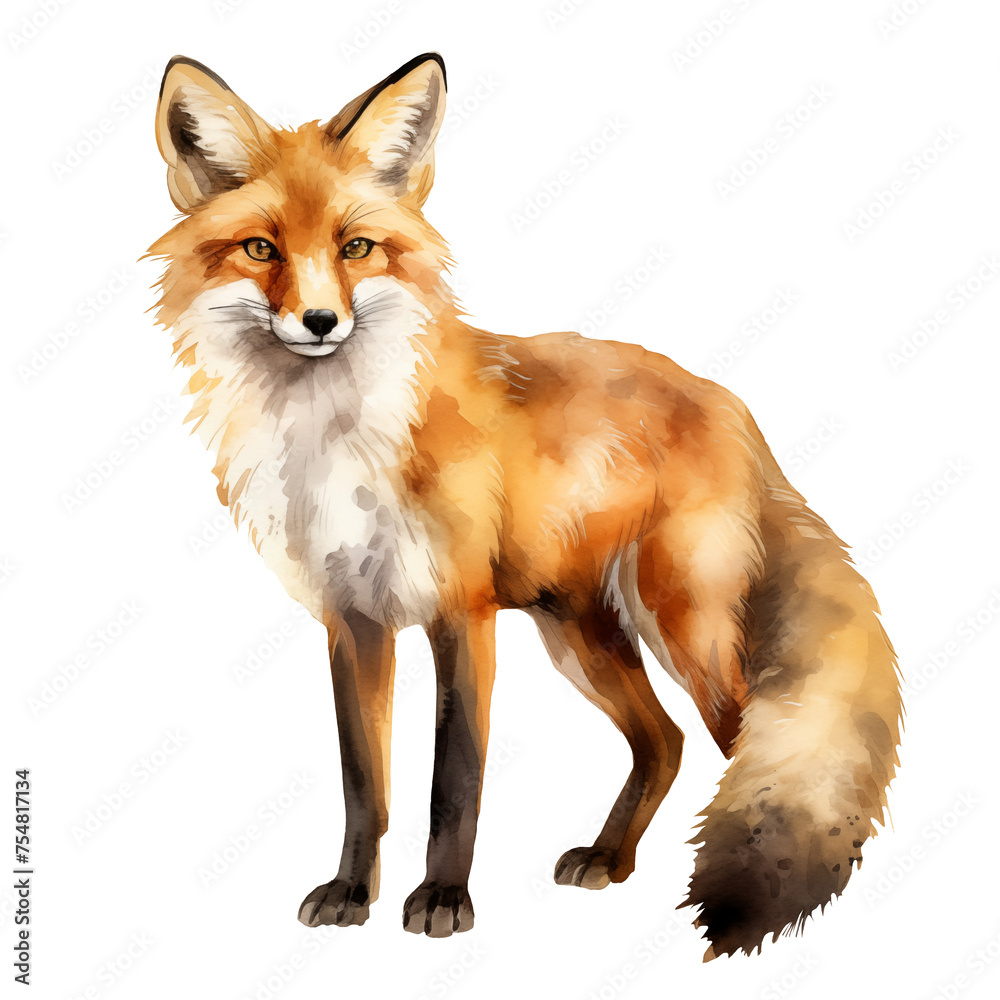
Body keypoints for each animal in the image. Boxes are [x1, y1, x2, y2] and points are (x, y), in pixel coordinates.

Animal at [149, 52, 901, 958]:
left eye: (356, 247)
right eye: (261, 248)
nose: (321, 321)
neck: (336, 434)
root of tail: (733, 408)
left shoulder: (461, 612)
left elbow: (454, 780)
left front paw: (444, 900)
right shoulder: (353, 622)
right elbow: (366, 783)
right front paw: (353, 894)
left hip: (681, 625)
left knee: (736, 744)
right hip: (579, 634)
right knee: (665, 742)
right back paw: (612, 859)